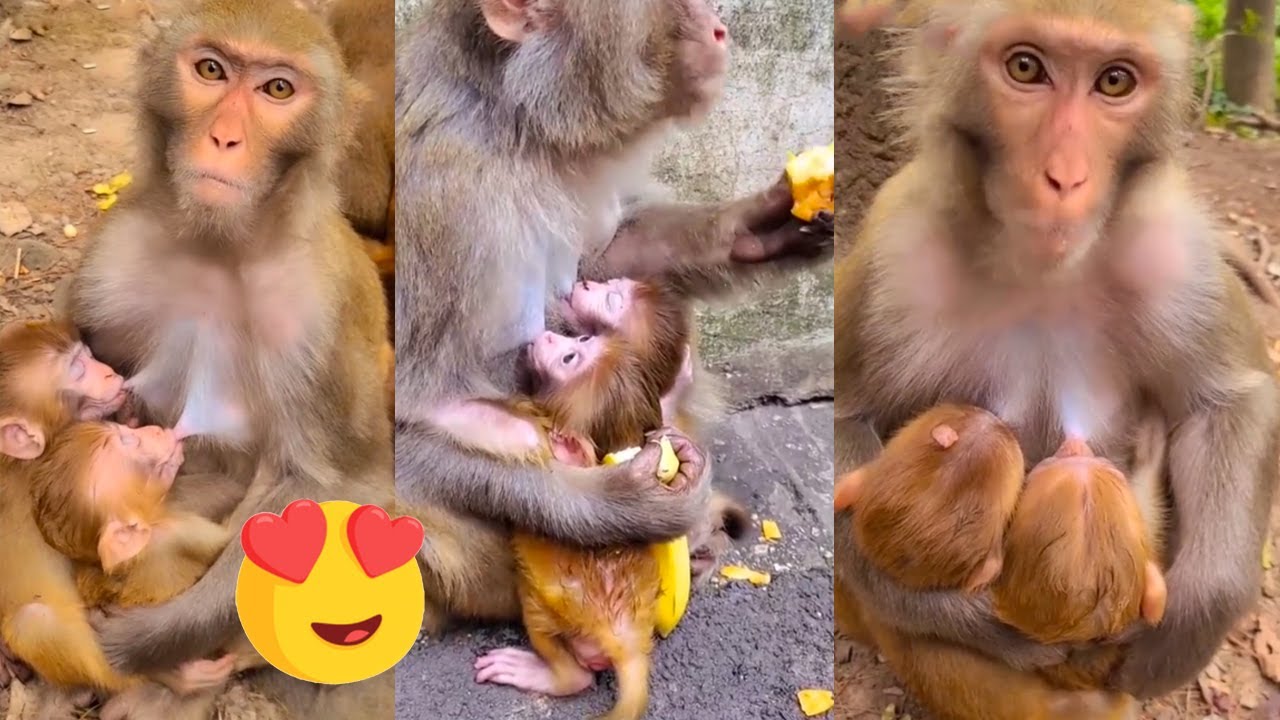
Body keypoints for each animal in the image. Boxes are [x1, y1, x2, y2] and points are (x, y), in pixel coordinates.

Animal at [63, 1, 394, 716]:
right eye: (211, 71)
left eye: (278, 89)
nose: (224, 140)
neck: (222, 244)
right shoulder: (113, 254)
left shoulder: (314, 313)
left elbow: (329, 490)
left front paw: (135, 643)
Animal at [395, 0, 833, 634]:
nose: (720, 26)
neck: (513, 120)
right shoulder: (443, 205)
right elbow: (401, 419)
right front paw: (615, 505)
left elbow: (602, 260)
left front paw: (762, 226)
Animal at [833, 0, 1279, 712]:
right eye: (1025, 68)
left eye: (1115, 81)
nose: (1065, 178)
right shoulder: (896, 250)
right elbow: (846, 416)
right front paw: (955, 613)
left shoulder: (1172, 250)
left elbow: (1230, 399)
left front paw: (1190, 620)